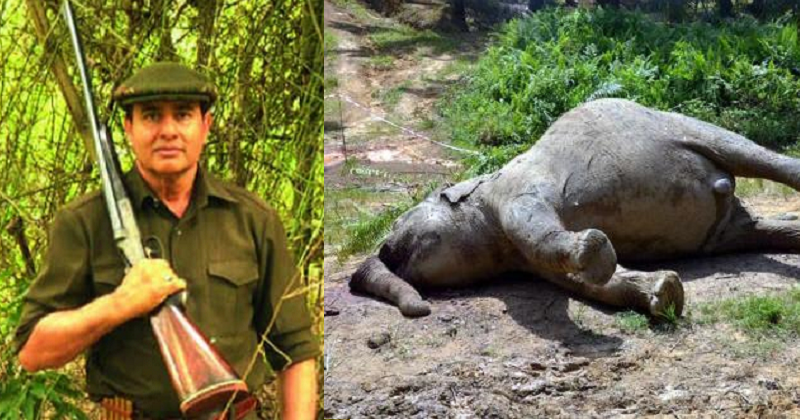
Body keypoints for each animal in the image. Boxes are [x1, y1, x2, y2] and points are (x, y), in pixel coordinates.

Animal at [351, 98, 800, 318]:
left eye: (399, 221)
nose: (385, 249)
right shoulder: (519, 255)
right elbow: (583, 283)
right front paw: (664, 293)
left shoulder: (517, 193)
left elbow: (540, 228)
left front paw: (594, 248)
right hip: (725, 229)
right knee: (751, 230)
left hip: (680, 127)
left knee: (746, 151)